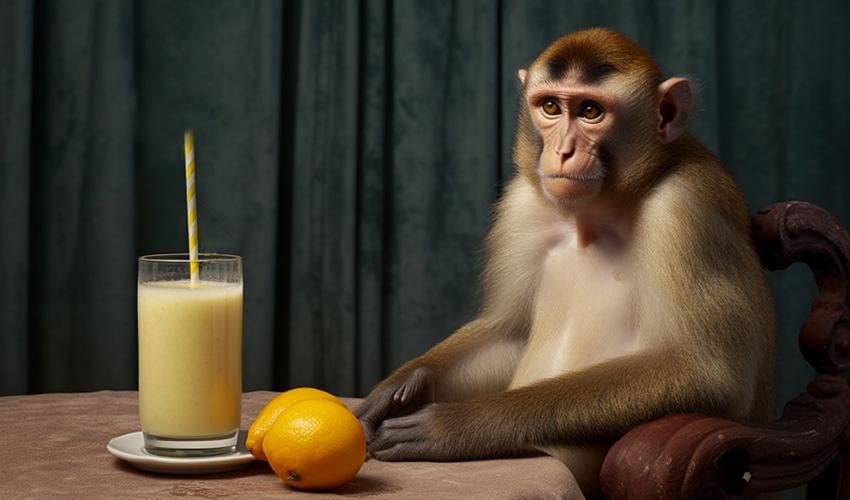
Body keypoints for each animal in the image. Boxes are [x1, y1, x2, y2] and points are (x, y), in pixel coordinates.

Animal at [356, 28, 775, 495]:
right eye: (551, 107)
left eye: (591, 111)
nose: (562, 151)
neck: (594, 214)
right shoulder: (521, 205)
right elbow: (509, 333)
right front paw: (401, 385)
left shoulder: (686, 208)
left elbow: (708, 373)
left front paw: (452, 425)